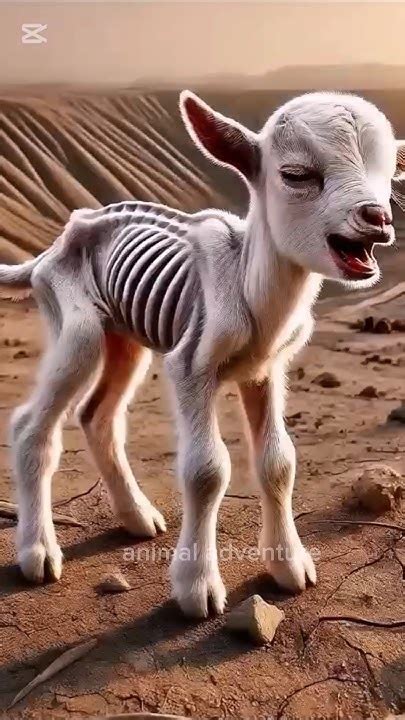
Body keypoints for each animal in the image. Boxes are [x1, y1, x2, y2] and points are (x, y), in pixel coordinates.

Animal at [0, 90, 401, 618]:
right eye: (296, 174)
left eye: (388, 175)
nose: (378, 219)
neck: (247, 283)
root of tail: (53, 246)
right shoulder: (191, 366)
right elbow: (206, 470)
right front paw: (198, 590)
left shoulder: (265, 371)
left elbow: (279, 460)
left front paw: (290, 568)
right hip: (75, 326)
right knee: (33, 425)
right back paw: (39, 553)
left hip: (124, 337)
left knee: (97, 415)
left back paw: (138, 518)